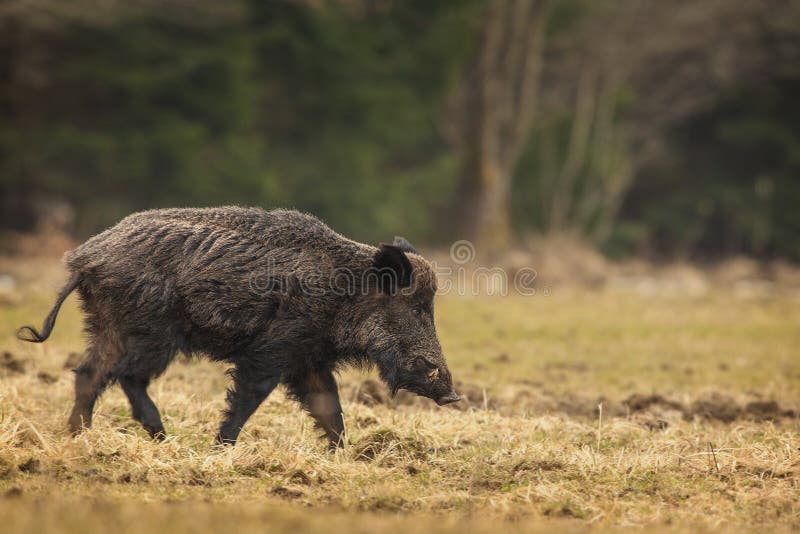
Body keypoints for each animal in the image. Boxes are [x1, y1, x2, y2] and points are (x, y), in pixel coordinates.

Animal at [17, 207, 460, 447]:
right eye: (416, 309)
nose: (453, 395)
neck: (343, 295)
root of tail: (84, 259)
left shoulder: (309, 359)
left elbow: (329, 408)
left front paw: (343, 455)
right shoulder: (273, 348)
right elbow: (252, 394)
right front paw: (221, 448)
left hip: (106, 325)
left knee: (89, 373)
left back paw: (78, 436)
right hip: (154, 332)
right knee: (127, 376)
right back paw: (163, 436)